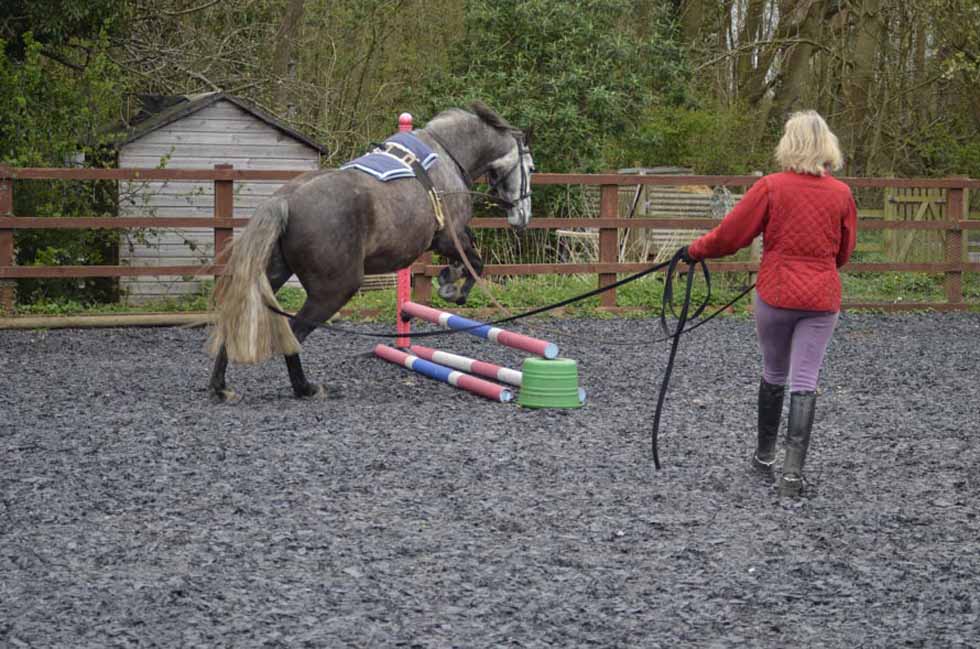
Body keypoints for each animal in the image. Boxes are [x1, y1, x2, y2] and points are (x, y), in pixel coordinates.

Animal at [206, 102, 535, 402]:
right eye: (530, 168)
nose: (523, 216)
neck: (446, 155)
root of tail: (286, 200)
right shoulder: (446, 237)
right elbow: (475, 262)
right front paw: (454, 290)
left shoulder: (447, 239)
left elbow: (468, 257)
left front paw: (448, 278)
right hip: (334, 290)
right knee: (294, 332)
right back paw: (305, 388)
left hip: (275, 273)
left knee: (237, 319)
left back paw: (220, 386)